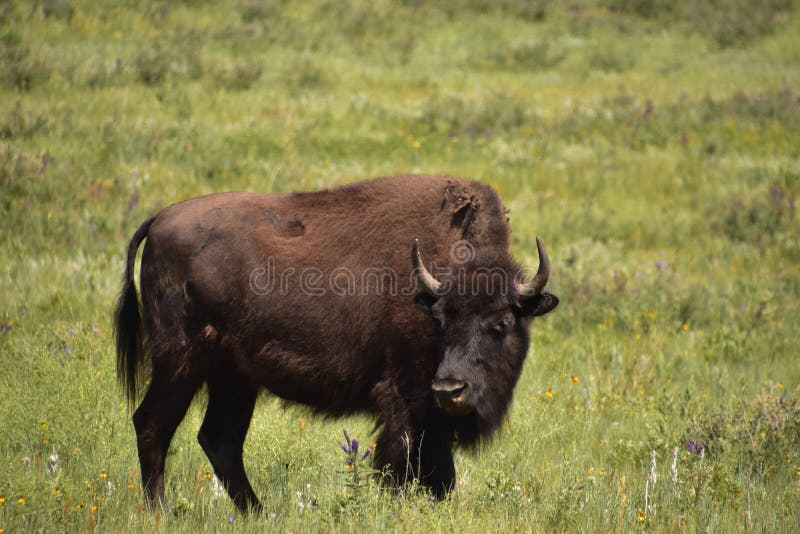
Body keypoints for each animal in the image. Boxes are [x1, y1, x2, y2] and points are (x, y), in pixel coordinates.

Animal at [114, 174, 558, 512]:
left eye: (502, 322)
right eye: (441, 320)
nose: (452, 389)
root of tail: (159, 219)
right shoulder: (407, 401)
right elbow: (411, 467)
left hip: (234, 378)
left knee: (219, 440)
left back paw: (258, 514)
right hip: (179, 362)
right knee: (152, 425)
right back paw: (162, 514)